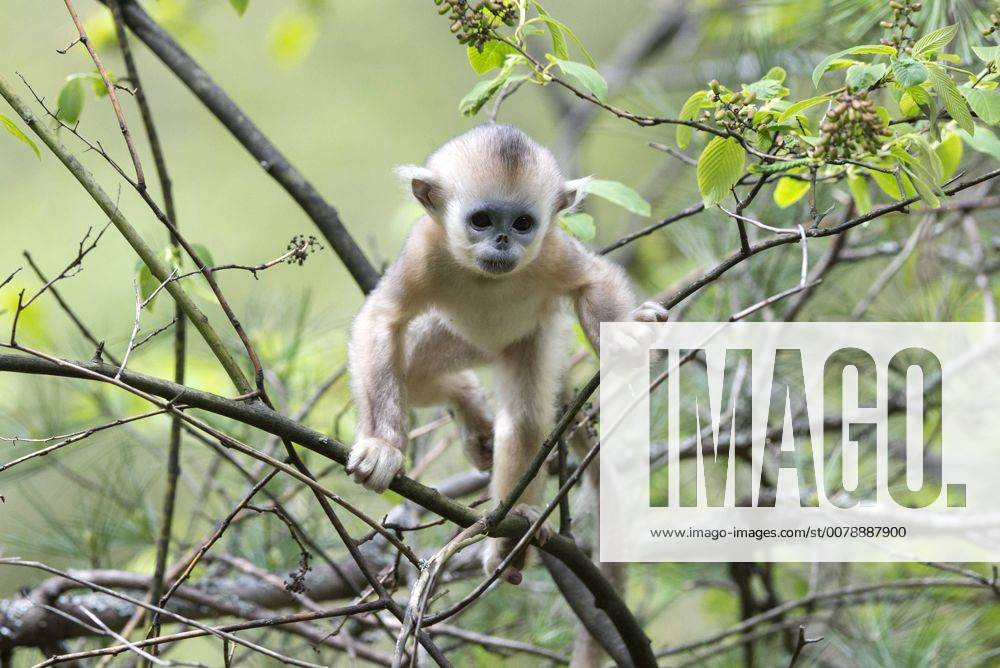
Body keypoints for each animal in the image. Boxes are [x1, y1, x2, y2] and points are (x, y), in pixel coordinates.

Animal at [346, 124, 667, 584]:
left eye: (522, 223)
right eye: (481, 220)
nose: (502, 240)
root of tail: (487, 349)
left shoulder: (551, 249)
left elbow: (592, 280)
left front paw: (625, 341)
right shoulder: (424, 252)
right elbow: (381, 319)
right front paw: (382, 447)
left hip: (528, 340)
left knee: (525, 418)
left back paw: (514, 529)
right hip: (449, 337)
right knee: (416, 374)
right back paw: (473, 416)